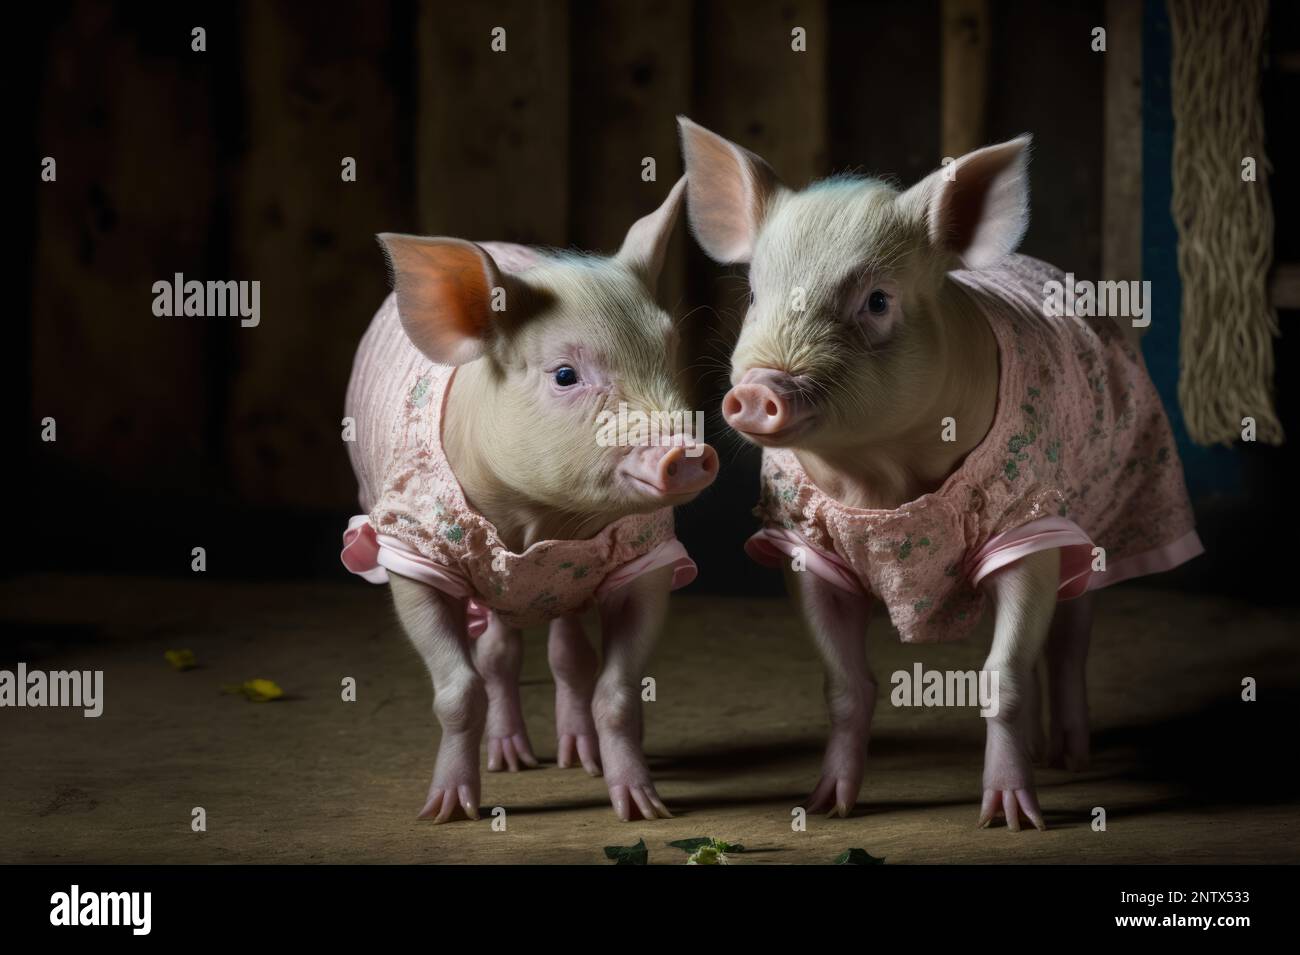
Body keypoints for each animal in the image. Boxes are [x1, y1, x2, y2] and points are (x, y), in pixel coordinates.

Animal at [340, 178, 718, 822]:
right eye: (565, 375)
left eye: (667, 353)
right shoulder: (414, 547)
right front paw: (448, 812)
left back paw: (576, 759)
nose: (687, 452)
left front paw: (643, 809)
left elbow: (617, 692)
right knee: (498, 654)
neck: (535, 524)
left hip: (567, 588)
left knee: (568, 654)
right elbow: (458, 689)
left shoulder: (645, 554)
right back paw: (511, 761)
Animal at [678, 118, 1202, 829]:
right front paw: (826, 807)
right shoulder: (802, 545)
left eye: (876, 302)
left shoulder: (1027, 521)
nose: (759, 389)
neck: (883, 481)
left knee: (1070, 635)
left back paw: (1069, 760)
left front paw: (1010, 820)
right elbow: (845, 685)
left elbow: (1002, 672)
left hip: (1110, 508)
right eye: (755, 295)